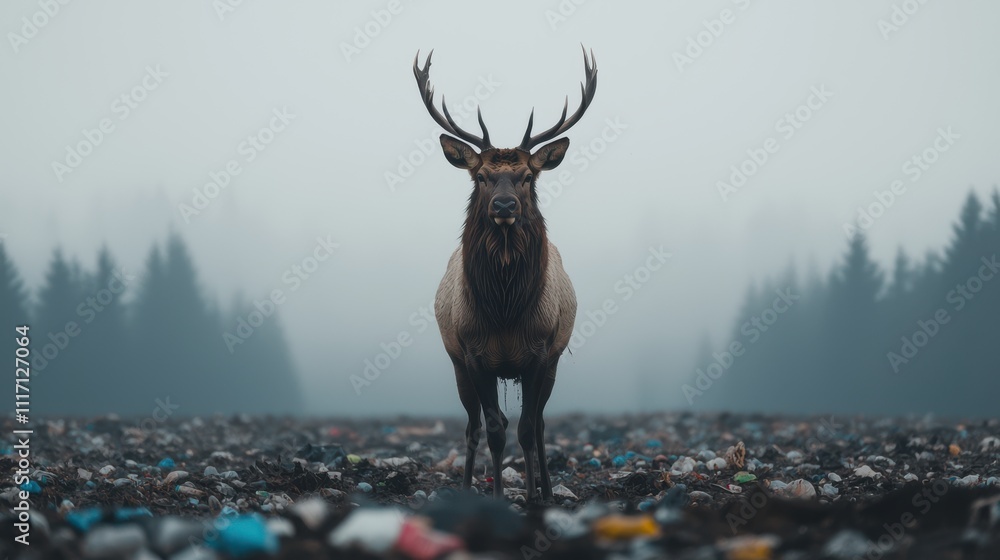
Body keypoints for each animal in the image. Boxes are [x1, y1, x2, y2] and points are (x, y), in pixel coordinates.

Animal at [413, 47, 597, 501]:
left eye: (527, 176)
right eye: (481, 176)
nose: (503, 206)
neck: (505, 311)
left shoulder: (541, 352)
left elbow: (529, 429)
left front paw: (533, 498)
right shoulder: (473, 354)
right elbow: (496, 429)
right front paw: (496, 495)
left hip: (553, 360)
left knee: (541, 424)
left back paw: (546, 488)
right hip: (457, 362)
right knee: (473, 427)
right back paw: (466, 487)